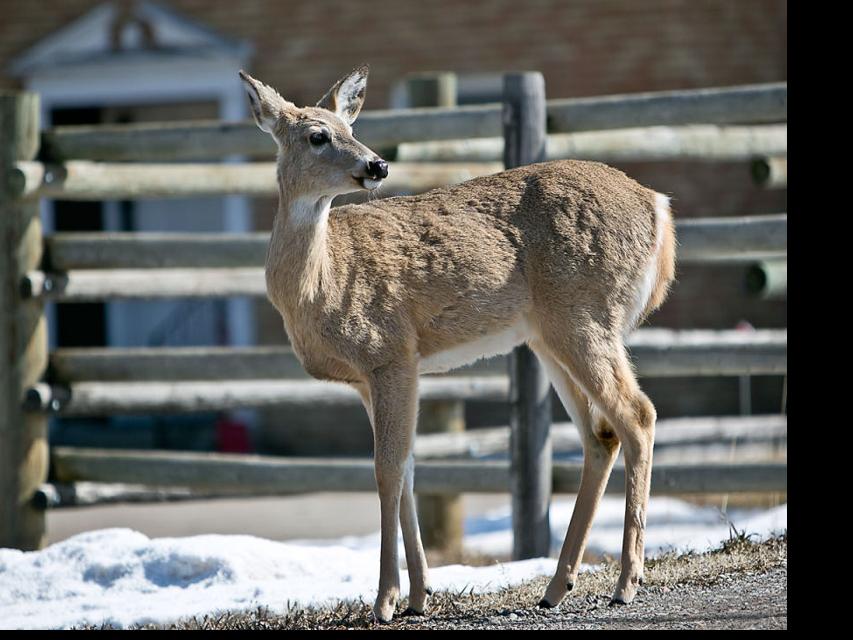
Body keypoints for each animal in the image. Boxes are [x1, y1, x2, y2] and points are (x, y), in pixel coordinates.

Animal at [239, 65, 676, 623]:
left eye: (349, 127)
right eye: (318, 135)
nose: (377, 164)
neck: (322, 281)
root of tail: (659, 209)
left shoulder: (390, 352)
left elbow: (386, 469)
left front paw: (385, 599)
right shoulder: (371, 378)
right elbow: (406, 469)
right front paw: (419, 596)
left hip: (586, 315)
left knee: (638, 414)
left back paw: (625, 582)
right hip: (549, 336)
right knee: (601, 434)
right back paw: (557, 586)